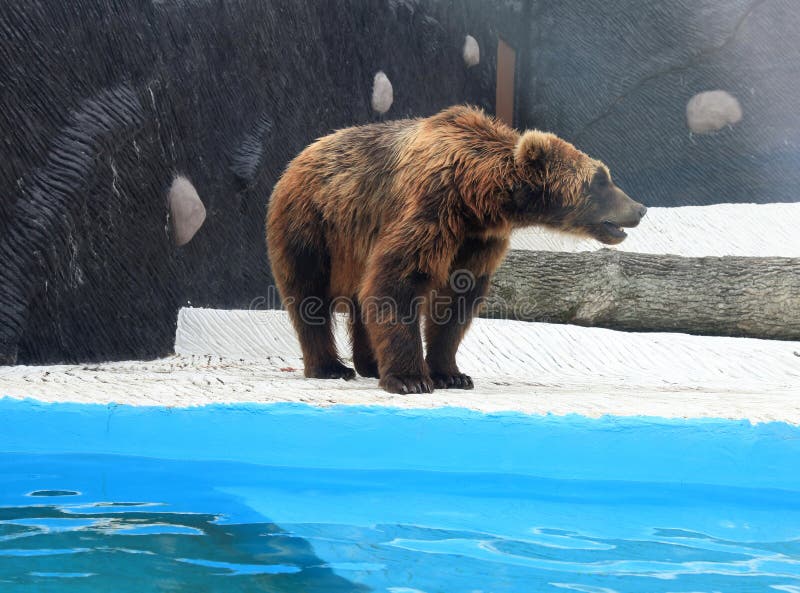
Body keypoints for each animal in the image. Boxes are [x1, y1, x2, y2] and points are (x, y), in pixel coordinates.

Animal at [267, 105, 646, 394]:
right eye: (600, 179)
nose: (639, 208)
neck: (477, 196)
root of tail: (298, 158)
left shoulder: (476, 241)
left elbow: (455, 305)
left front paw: (451, 374)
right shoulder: (432, 210)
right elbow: (398, 280)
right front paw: (410, 379)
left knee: (360, 295)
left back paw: (370, 363)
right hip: (312, 224)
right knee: (309, 295)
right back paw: (330, 366)